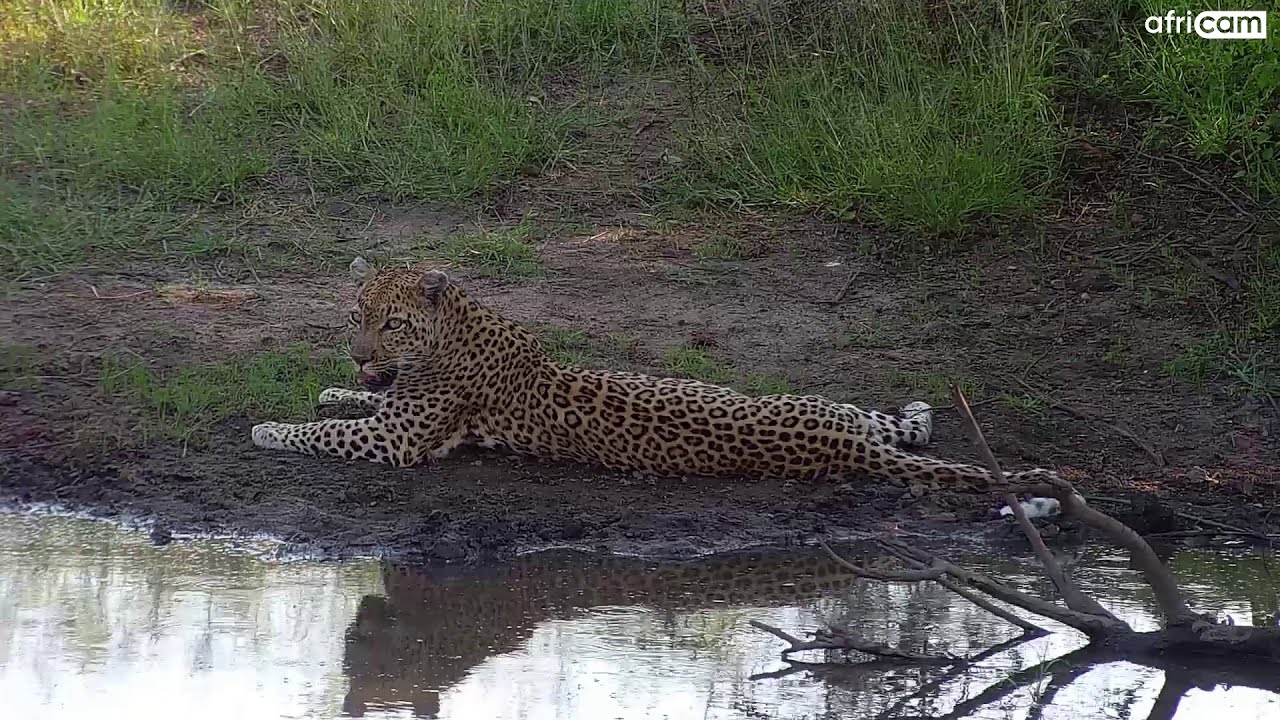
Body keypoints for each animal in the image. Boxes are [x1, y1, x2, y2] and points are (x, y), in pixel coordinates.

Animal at [251, 256, 1061, 491]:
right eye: (355, 316)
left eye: (391, 323)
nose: (361, 352)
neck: (454, 326)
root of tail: (844, 446)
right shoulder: (389, 412)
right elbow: (349, 405)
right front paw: (331, 387)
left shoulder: (396, 441)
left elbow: (323, 434)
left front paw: (266, 427)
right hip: (836, 408)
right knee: (898, 428)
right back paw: (918, 411)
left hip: (821, 411)